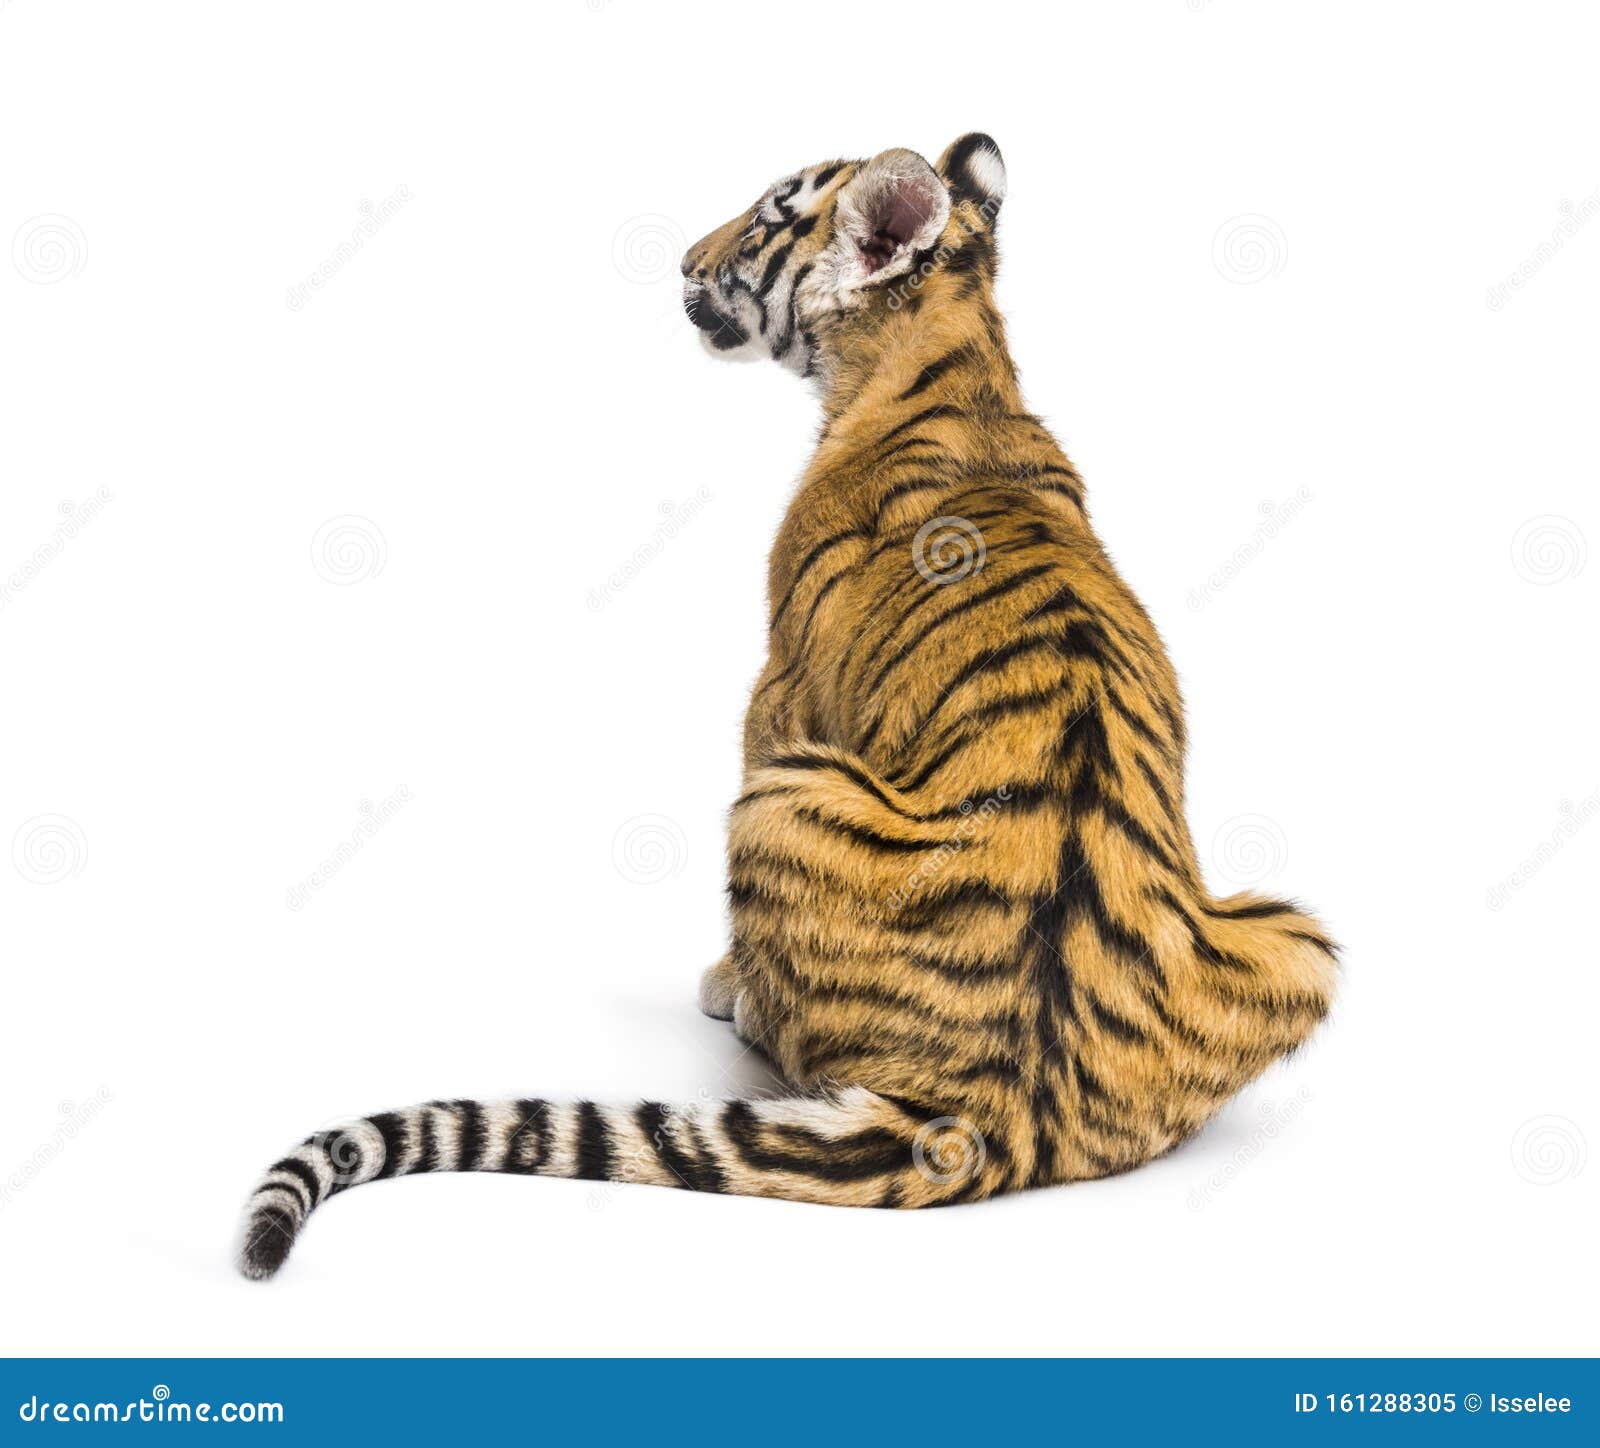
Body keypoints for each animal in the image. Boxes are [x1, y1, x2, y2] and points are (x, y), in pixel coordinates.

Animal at [238, 134, 1335, 1279]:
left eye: (768, 217)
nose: (680, 258)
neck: (952, 354)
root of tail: (997, 1115)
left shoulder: (780, 689)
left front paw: (728, 975)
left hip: (779, 795)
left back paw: (748, 1007)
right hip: (1298, 941)